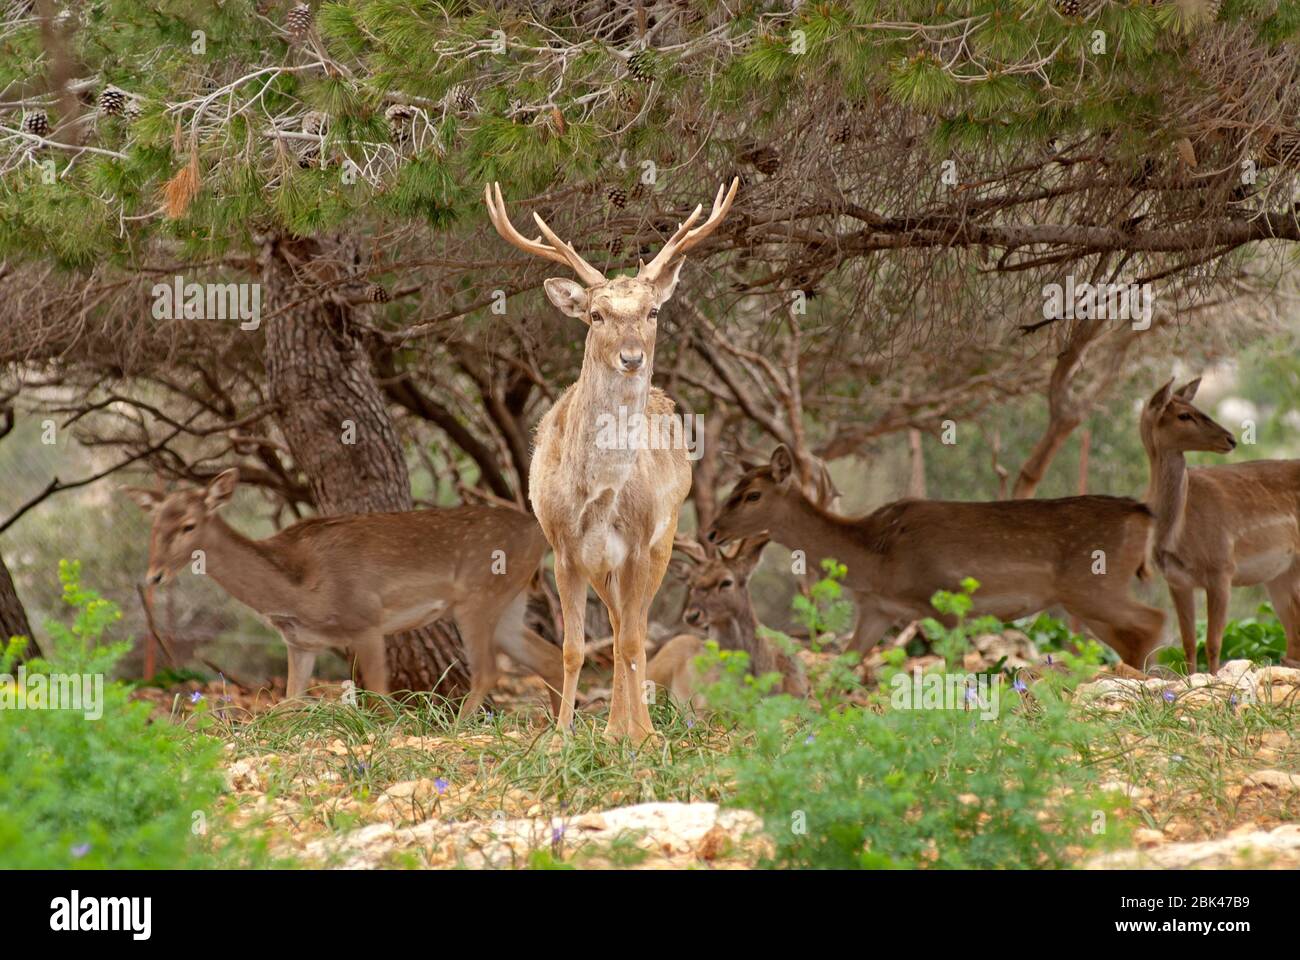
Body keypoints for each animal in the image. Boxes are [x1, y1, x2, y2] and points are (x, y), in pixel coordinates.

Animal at [124, 468, 563, 716]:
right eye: (155, 525)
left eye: (189, 525)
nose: (153, 577)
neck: (296, 590)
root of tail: (539, 532)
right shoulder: (302, 643)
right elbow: (287, 704)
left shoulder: (366, 620)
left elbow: (380, 696)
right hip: (509, 604)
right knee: (549, 658)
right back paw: (560, 731)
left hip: (478, 595)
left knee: (488, 671)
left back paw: (457, 729)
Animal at [483, 178, 739, 742]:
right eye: (596, 314)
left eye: (652, 312)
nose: (631, 357)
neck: (597, 494)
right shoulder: (563, 548)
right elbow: (575, 648)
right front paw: (562, 735)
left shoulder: (641, 542)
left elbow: (633, 640)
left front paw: (639, 736)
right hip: (603, 565)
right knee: (621, 624)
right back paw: (613, 725)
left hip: (666, 539)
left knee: (632, 628)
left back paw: (628, 727)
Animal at [705, 444, 1167, 670]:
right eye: (734, 486)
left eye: (751, 494)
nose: (712, 531)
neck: (874, 557)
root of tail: (1143, 513)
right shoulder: (878, 610)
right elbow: (843, 666)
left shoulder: (944, 600)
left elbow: (956, 669)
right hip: (1086, 601)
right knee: (1133, 635)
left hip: (1093, 586)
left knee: (1154, 620)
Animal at [1141, 378, 1300, 674]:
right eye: (1184, 414)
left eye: (1195, 407)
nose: (1231, 439)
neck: (1177, 533)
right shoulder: (1176, 580)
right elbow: (1189, 643)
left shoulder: (1222, 569)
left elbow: (1214, 642)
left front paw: (1215, 680)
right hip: (1280, 575)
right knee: (1292, 639)